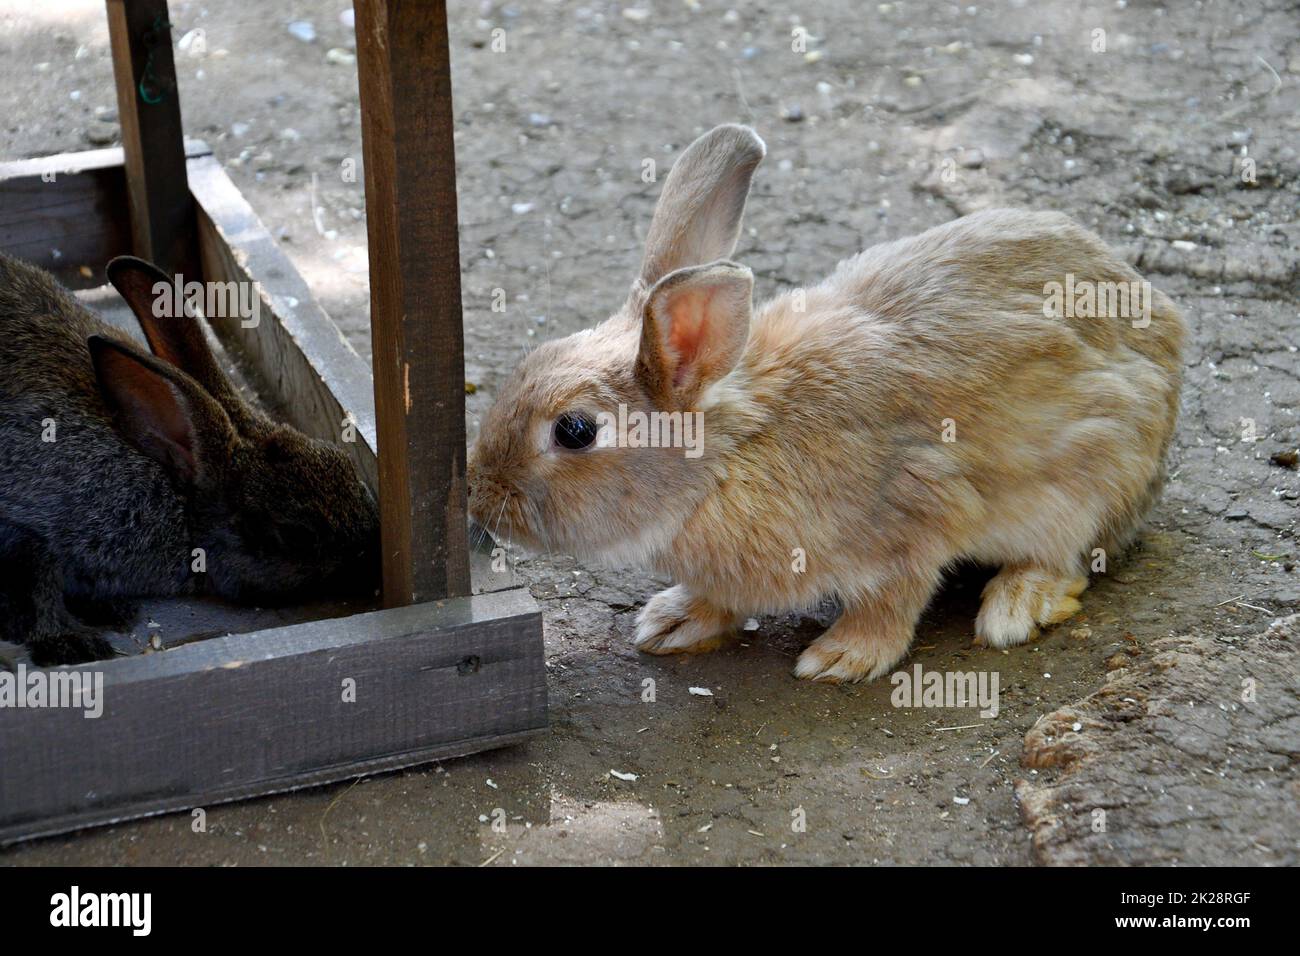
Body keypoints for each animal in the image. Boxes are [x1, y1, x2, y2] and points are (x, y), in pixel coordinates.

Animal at [0, 252, 380, 666]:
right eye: (294, 533)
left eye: (343, 462)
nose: (374, 550)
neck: (176, 501)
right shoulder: (27, 525)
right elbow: (37, 589)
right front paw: (72, 643)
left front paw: (110, 609)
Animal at [466, 124, 1186, 683]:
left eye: (575, 430)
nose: (478, 493)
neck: (726, 462)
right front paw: (674, 621)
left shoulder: (914, 511)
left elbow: (892, 599)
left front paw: (843, 657)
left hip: (1091, 475)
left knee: (1070, 554)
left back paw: (1016, 604)